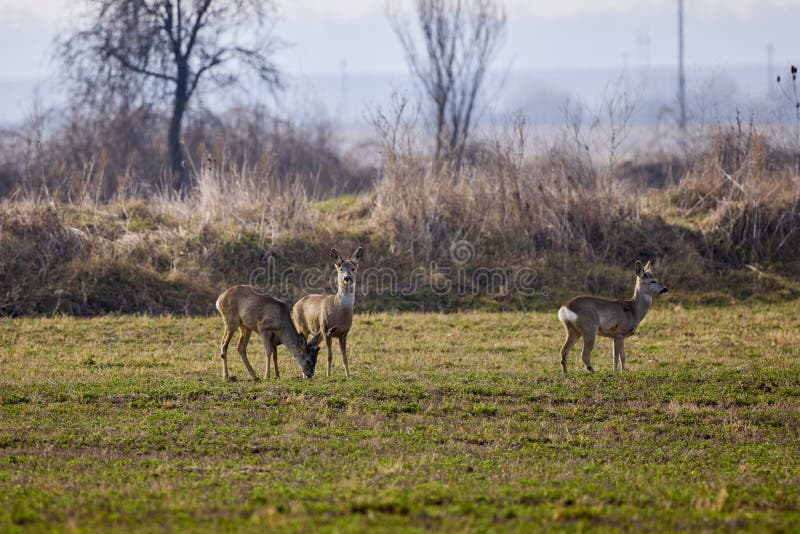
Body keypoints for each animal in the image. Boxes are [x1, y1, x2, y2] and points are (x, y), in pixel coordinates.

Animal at [292, 247, 363, 378]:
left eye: (353, 268)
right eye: (341, 269)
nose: (347, 278)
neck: (339, 311)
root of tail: (295, 304)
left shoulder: (344, 332)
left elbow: (345, 357)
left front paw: (348, 375)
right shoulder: (326, 329)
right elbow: (329, 356)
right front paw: (328, 375)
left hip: (316, 333)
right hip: (302, 326)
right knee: (300, 348)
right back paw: (304, 375)